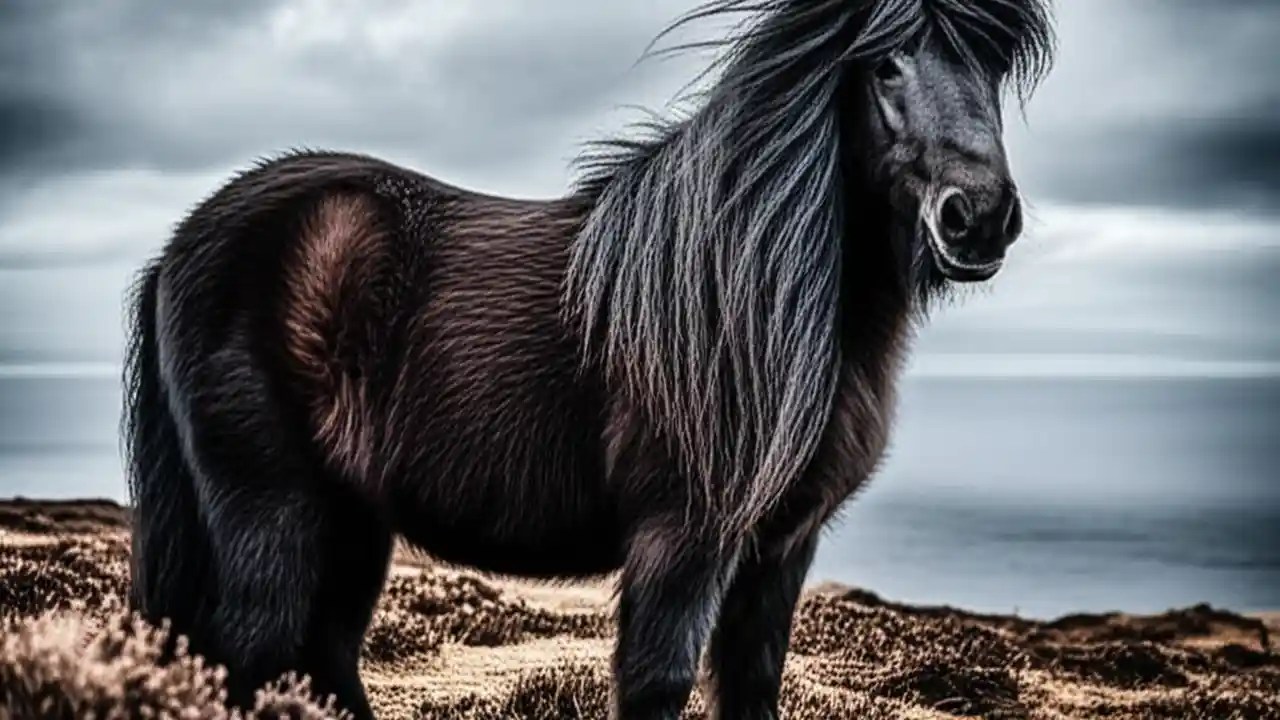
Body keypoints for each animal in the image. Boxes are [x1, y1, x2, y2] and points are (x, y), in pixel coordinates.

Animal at [123, 0, 1054, 717]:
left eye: (992, 66)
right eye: (886, 64)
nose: (978, 218)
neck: (743, 298)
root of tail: (179, 247)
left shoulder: (783, 549)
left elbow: (752, 686)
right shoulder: (685, 538)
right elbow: (658, 682)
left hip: (351, 523)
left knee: (322, 662)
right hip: (272, 510)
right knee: (256, 651)